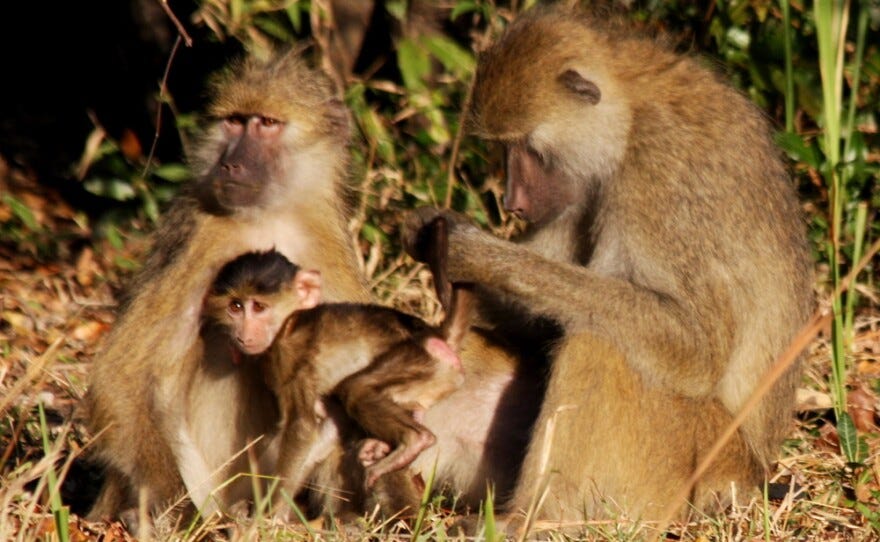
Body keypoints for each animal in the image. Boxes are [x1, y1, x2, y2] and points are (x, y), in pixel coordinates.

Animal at [83, 50, 373, 531]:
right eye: (235, 122)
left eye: (267, 123)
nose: (231, 164)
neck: (268, 217)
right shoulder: (201, 236)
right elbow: (123, 372)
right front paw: (171, 511)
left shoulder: (325, 243)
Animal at [402, 4, 814, 528]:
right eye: (502, 147)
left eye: (529, 148)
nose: (514, 203)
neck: (633, 112)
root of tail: (753, 473)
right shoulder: (579, 193)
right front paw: (428, 235)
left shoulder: (658, 176)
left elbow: (698, 350)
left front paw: (473, 253)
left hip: (691, 458)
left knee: (601, 342)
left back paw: (532, 519)